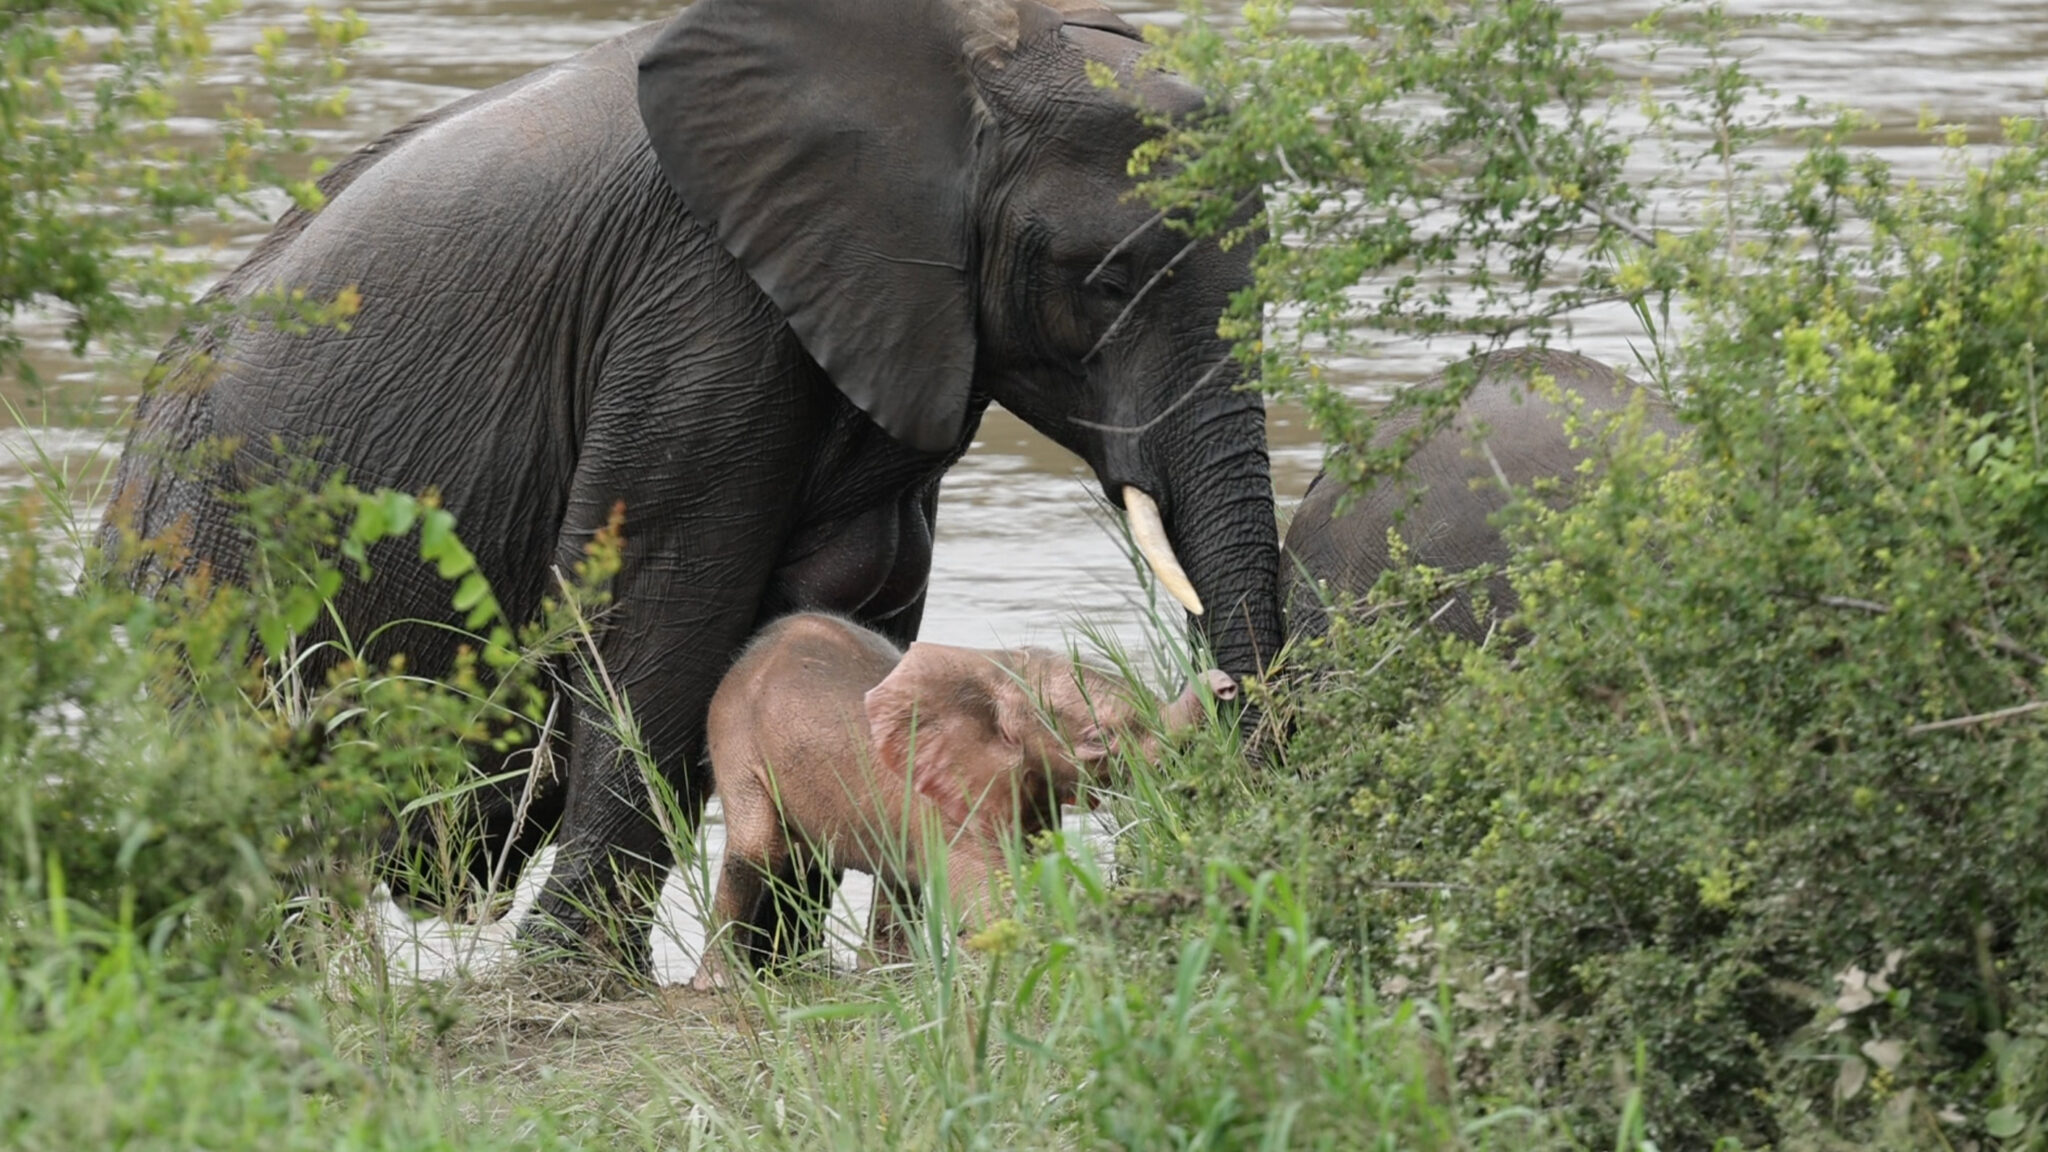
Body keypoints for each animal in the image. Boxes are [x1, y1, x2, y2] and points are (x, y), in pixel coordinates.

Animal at [691, 612, 1234, 988]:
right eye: (1099, 740)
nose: (1226, 684)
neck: (999, 672)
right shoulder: (952, 802)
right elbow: (993, 898)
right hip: (734, 740)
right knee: (758, 849)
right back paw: (722, 985)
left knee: (895, 876)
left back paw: (889, 975)